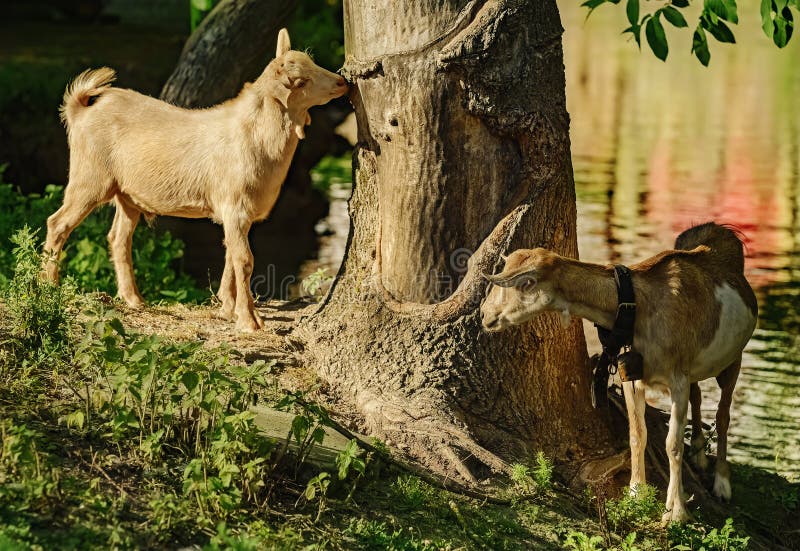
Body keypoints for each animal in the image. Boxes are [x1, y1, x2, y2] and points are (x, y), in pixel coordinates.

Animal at [45, 29, 348, 331]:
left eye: (311, 62)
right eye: (300, 81)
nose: (342, 82)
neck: (256, 138)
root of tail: (79, 111)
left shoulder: (239, 213)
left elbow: (230, 256)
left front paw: (227, 308)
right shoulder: (235, 207)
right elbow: (244, 260)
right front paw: (249, 320)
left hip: (127, 195)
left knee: (118, 238)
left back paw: (134, 300)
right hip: (89, 178)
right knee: (58, 224)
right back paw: (49, 287)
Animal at [480, 223, 757, 522]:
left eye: (526, 283)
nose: (485, 315)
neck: (637, 307)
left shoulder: (678, 380)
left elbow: (672, 444)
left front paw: (676, 512)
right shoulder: (632, 377)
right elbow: (637, 434)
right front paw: (636, 494)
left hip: (735, 358)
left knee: (723, 414)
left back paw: (721, 483)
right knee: (699, 396)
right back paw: (698, 453)